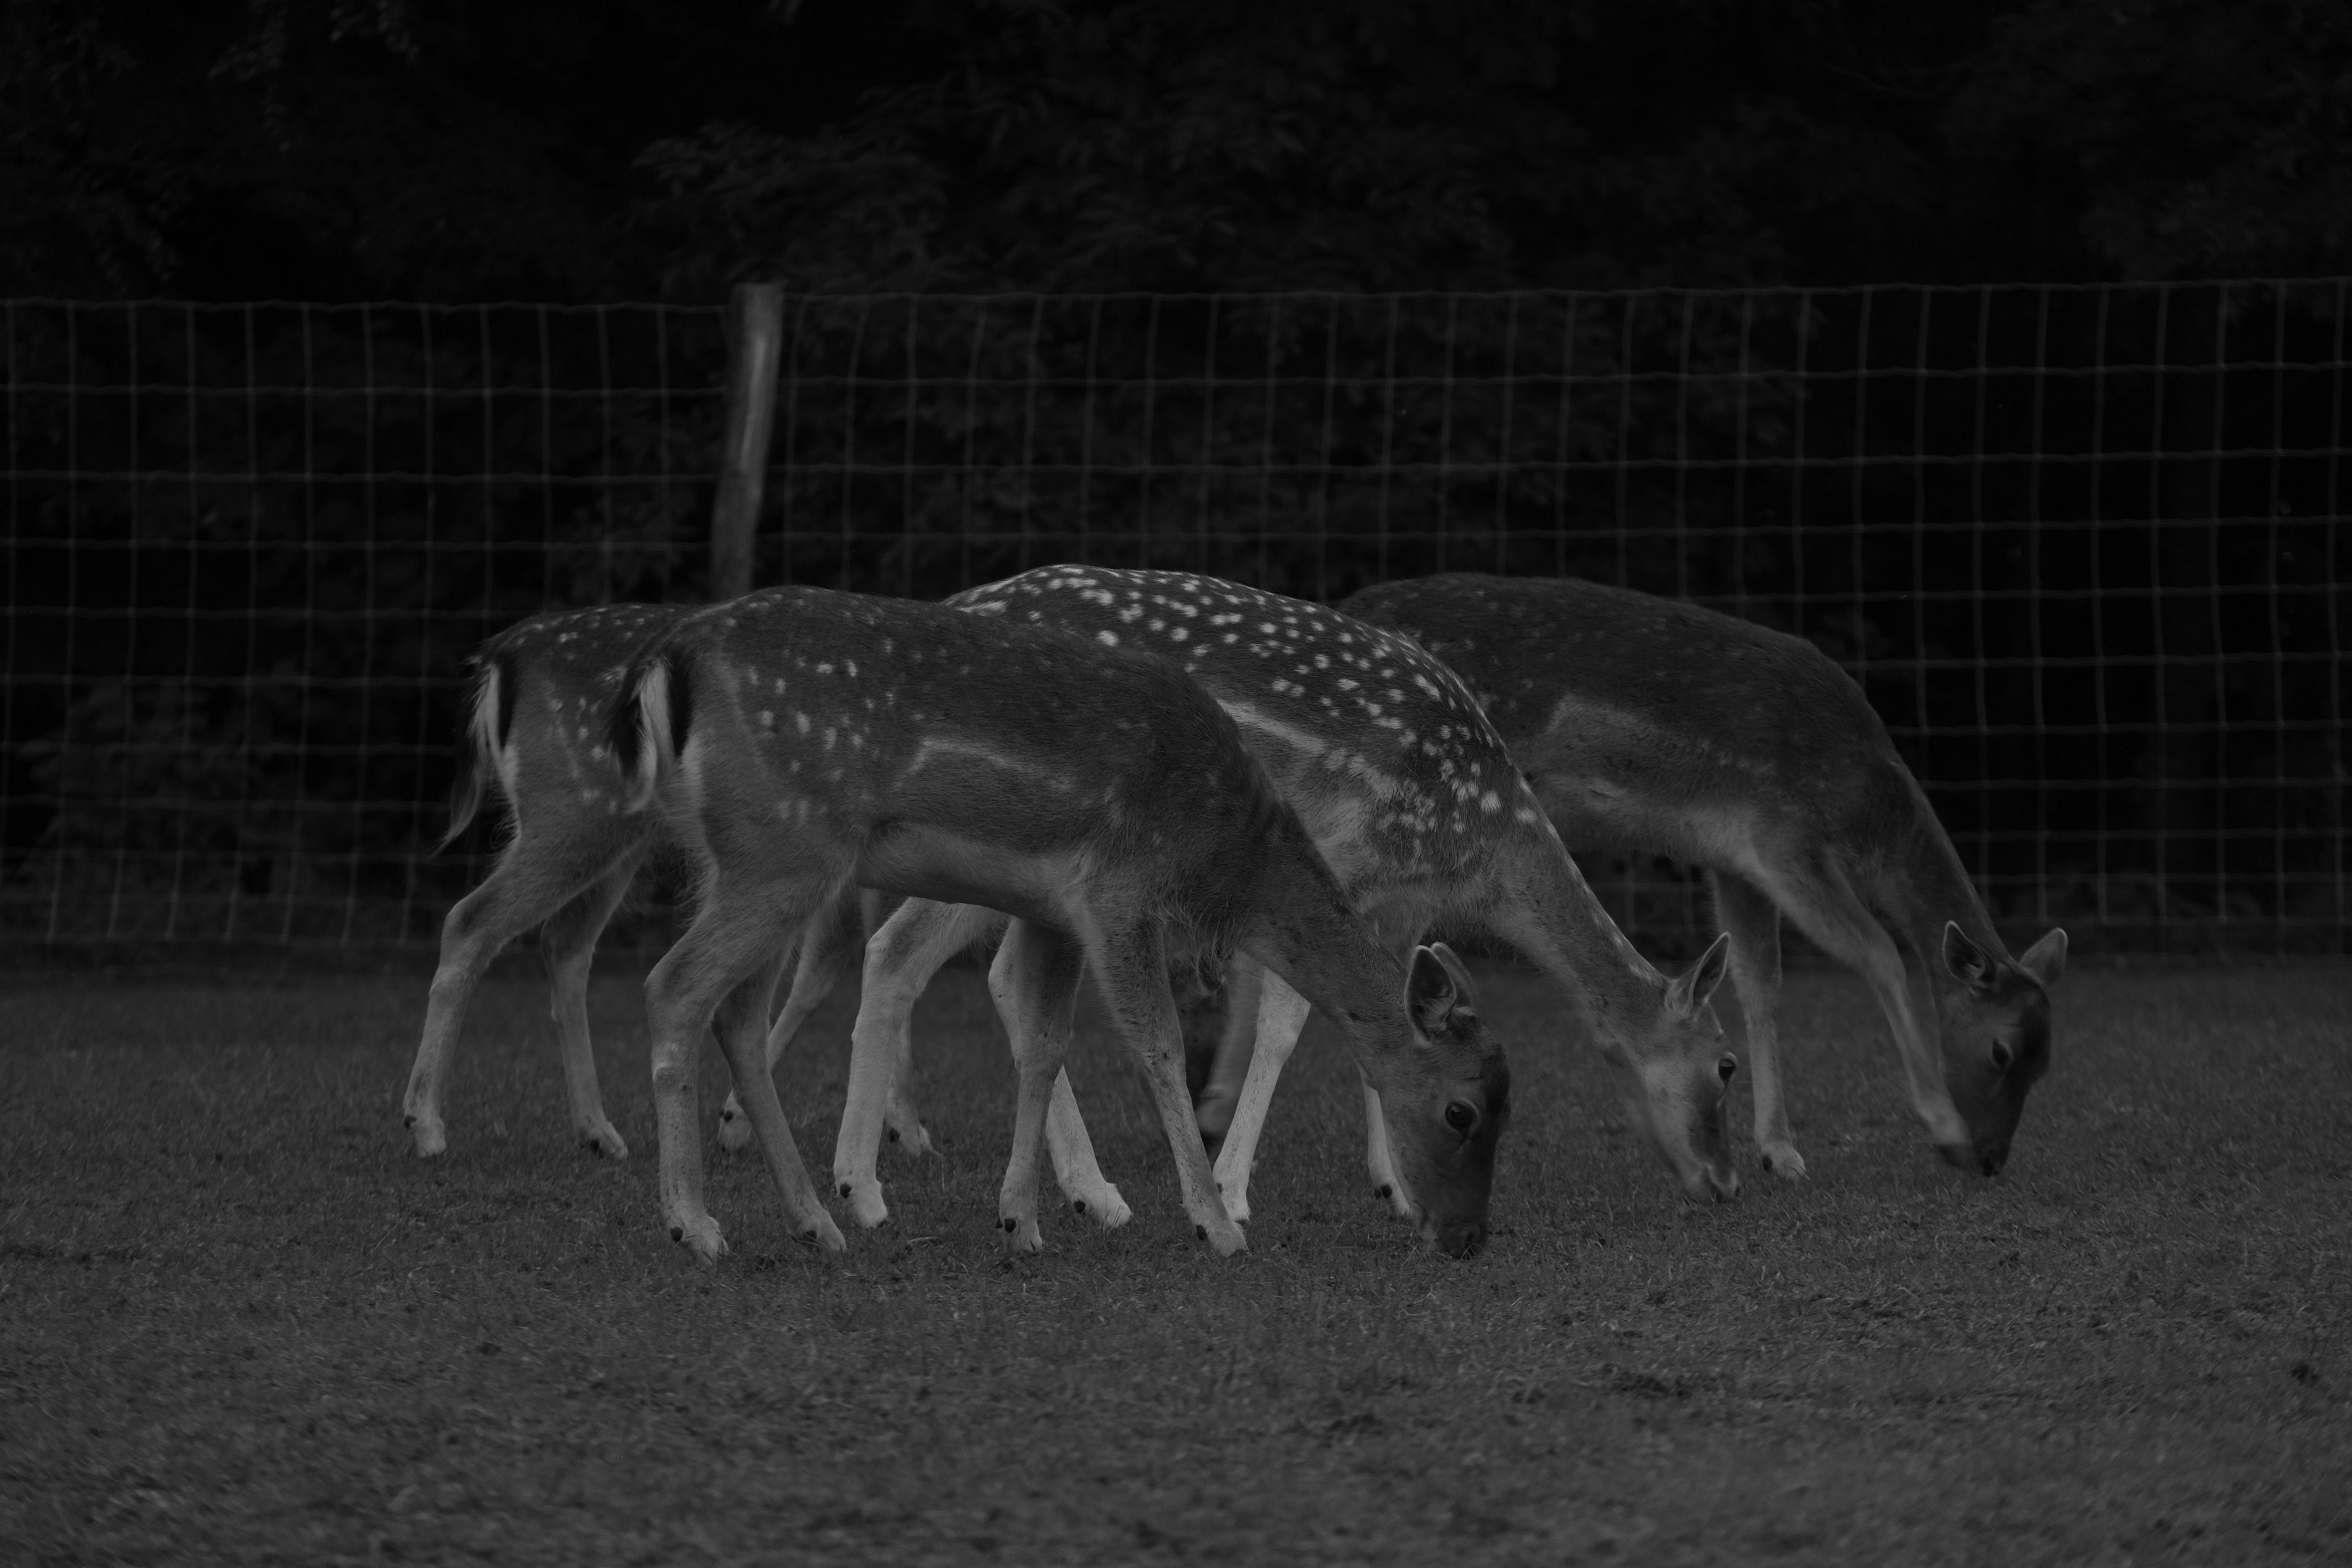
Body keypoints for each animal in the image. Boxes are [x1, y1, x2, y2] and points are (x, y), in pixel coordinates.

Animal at [604, 584, 1511, 1261]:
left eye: (1510, 1102)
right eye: (1461, 1110)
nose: (1467, 1238)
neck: (1226, 851)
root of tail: (666, 663)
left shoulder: (1055, 910)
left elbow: (1043, 1045)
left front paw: (1022, 1219)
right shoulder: (1118, 890)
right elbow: (1156, 1045)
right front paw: (1214, 1221)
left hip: (743, 862)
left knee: (735, 1013)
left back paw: (815, 1222)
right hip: (780, 854)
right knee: (671, 985)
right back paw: (698, 1224)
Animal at [756, 566, 1738, 1234]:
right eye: (1727, 1065)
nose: (1728, 1182)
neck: (1478, 839)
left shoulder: (1397, 902)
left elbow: (1385, 1019)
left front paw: (1393, 1181)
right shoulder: (1336, 861)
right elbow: (1287, 1022)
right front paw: (1230, 1191)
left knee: (979, 971)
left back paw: (1088, 1191)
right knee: (900, 952)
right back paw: (867, 1188)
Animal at [1339, 572, 2068, 1180]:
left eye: (2046, 1065)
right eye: (2002, 1052)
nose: (1992, 1158)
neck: (1860, 799)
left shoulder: (1734, 862)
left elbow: (1760, 983)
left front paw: (1780, 1151)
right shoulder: (1781, 839)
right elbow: (1880, 952)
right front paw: (1943, 1128)